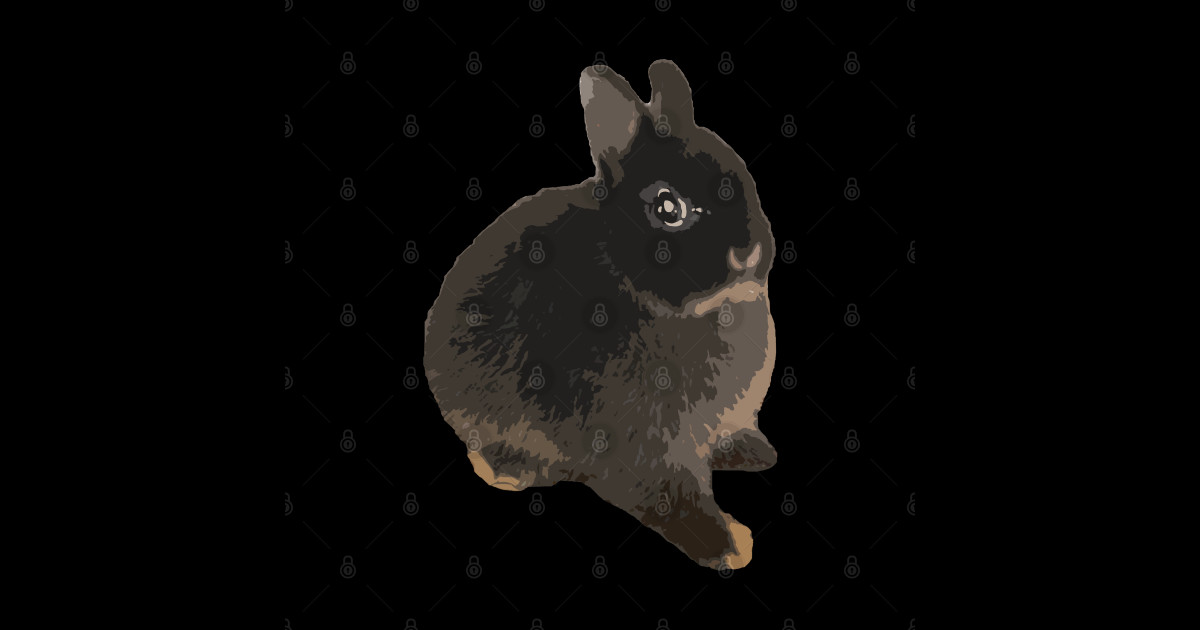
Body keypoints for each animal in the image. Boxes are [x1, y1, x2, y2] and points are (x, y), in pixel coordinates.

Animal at [424, 59, 777, 570]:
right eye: (667, 208)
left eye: (741, 173)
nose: (748, 254)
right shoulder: (644, 447)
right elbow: (671, 496)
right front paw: (729, 545)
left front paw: (755, 454)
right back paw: (510, 469)